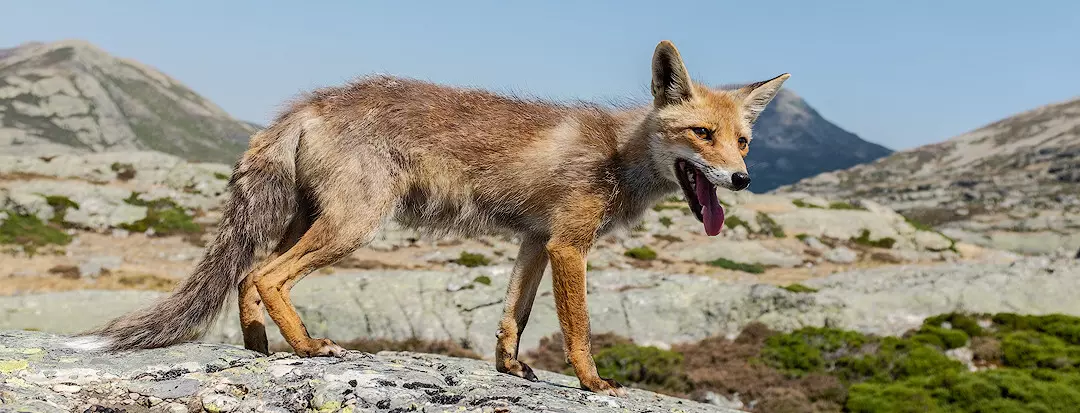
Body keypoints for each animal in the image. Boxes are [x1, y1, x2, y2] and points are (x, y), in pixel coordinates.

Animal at [73, 39, 786, 397]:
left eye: (743, 141)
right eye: (701, 135)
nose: (743, 180)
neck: (617, 151)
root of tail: (305, 103)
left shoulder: (534, 242)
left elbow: (512, 317)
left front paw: (511, 371)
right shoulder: (569, 245)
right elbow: (578, 330)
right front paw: (591, 383)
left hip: (310, 221)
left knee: (249, 277)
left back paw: (261, 352)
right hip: (353, 227)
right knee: (267, 276)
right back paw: (307, 348)